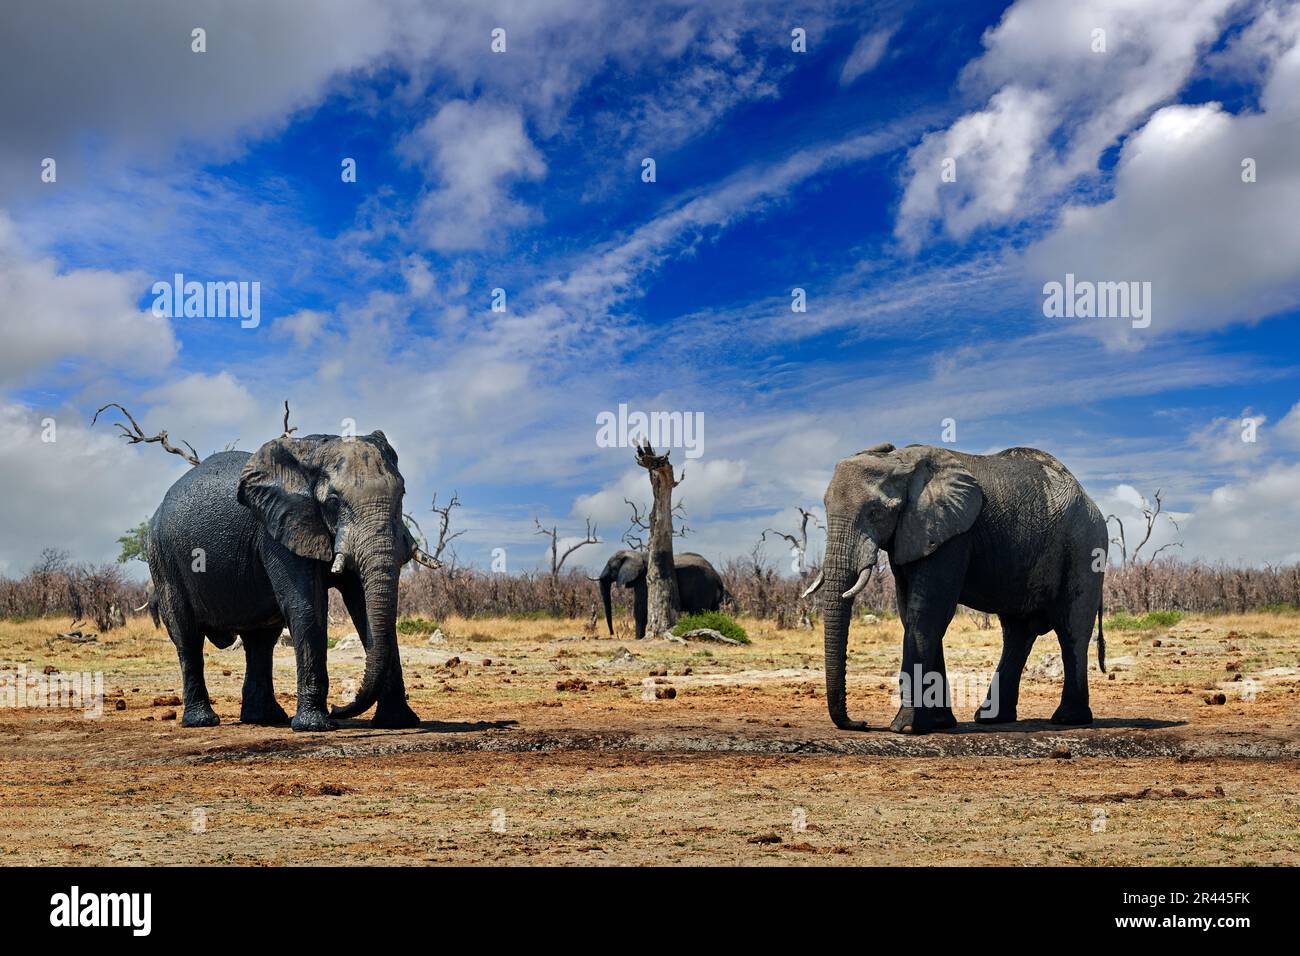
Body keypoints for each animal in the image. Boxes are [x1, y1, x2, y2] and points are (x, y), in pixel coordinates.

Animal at [145, 431, 435, 731]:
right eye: (333, 501)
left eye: (402, 494)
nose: (338, 708)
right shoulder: (279, 533)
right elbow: (306, 607)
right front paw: (314, 726)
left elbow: (363, 608)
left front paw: (399, 723)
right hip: (163, 558)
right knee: (187, 635)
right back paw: (201, 721)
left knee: (260, 641)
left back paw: (265, 718)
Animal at [595, 550, 728, 640]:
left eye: (611, 566)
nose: (612, 633)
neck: (635, 554)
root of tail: (718, 578)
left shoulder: (644, 578)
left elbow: (640, 607)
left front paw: (638, 639)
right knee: (713, 611)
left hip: (703, 589)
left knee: (698, 612)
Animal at [804, 443, 1107, 734]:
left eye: (876, 512)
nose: (862, 724)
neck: (902, 461)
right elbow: (910, 613)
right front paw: (938, 724)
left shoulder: (952, 535)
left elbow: (926, 613)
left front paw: (906, 728)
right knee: (1017, 633)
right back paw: (990, 718)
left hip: (1084, 548)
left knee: (1071, 629)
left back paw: (1068, 720)